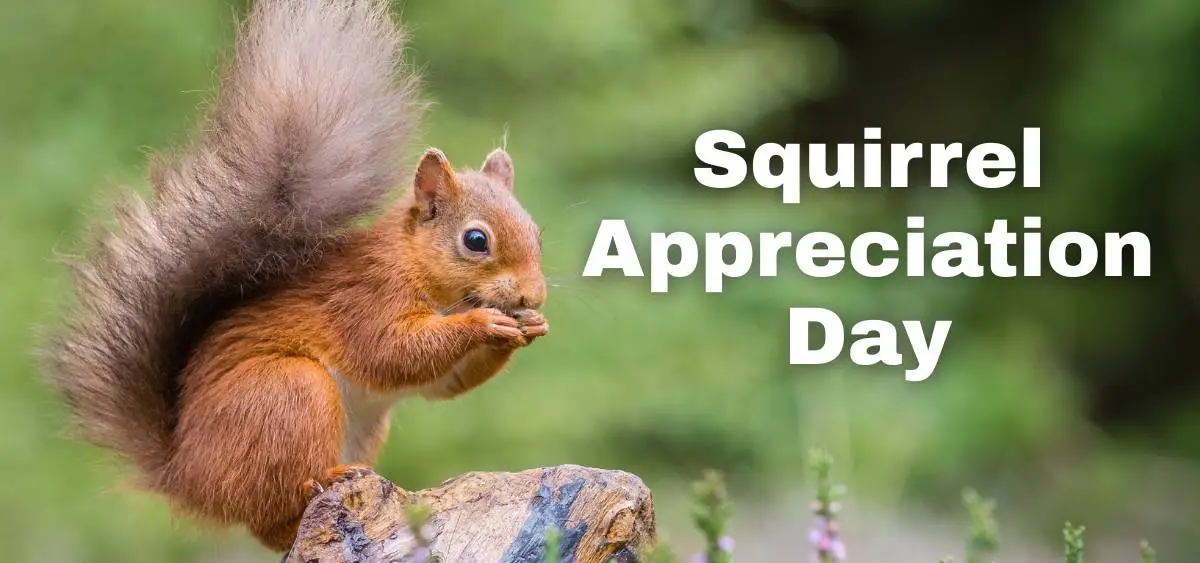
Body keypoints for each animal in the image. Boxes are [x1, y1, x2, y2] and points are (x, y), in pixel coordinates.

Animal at [40, 0, 547, 552]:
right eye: (475, 240)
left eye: (537, 232)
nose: (534, 296)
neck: (421, 271)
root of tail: (187, 476)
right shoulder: (365, 299)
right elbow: (393, 353)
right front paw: (484, 324)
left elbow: (446, 382)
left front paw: (527, 329)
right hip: (288, 394)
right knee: (271, 513)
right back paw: (325, 483)